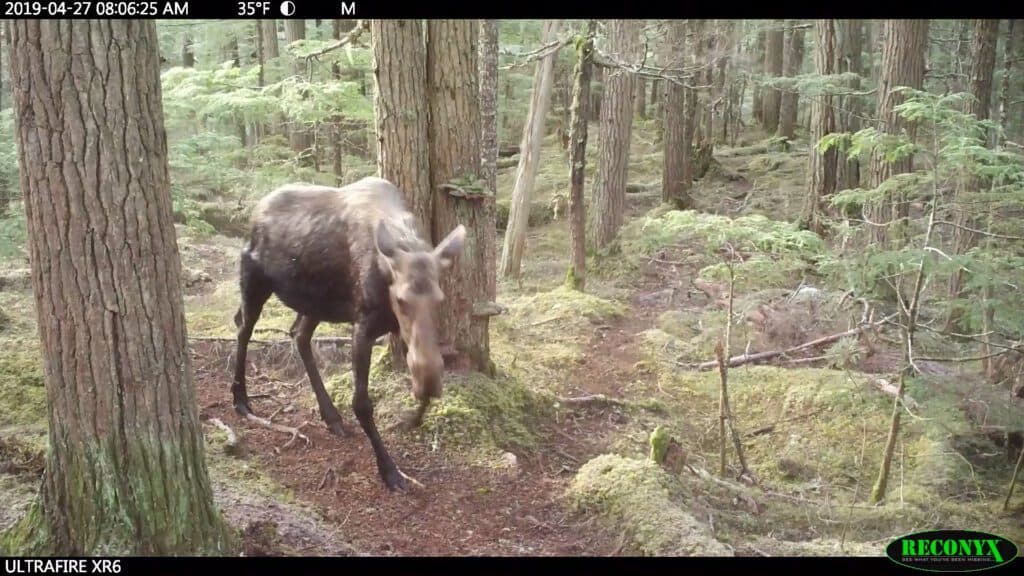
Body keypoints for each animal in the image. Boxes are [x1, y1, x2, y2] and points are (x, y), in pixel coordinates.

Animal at [230, 176, 466, 492]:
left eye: (440, 300)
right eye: (400, 299)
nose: (430, 382)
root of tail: (256, 211)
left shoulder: (399, 331)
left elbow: (419, 371)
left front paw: (411, 417)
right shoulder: (363, 326)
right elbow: (362, 403)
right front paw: (389, 470)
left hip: (315, 300)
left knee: (298, 335)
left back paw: (330, 416)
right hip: (254, 281)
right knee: (243, 327)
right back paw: (240, 399)